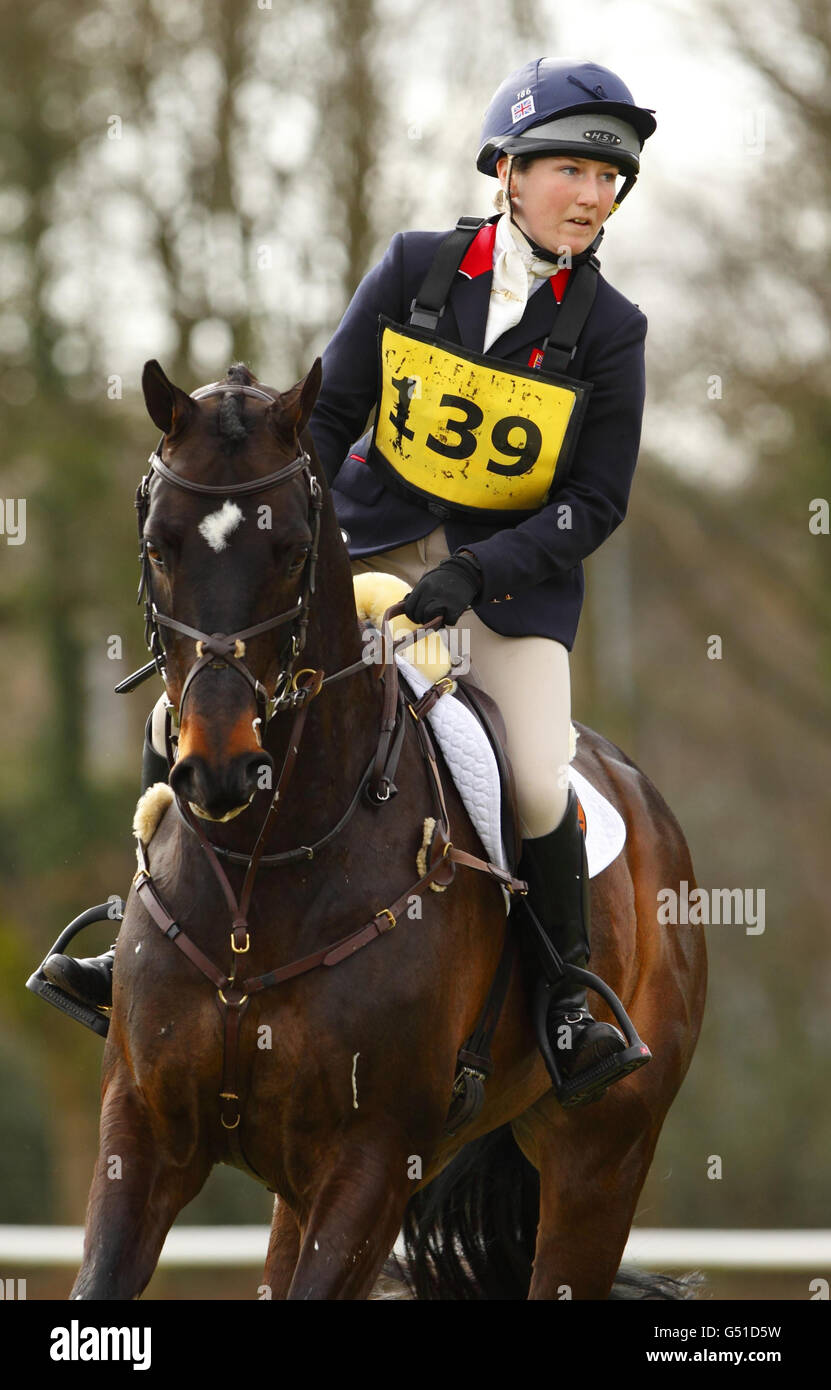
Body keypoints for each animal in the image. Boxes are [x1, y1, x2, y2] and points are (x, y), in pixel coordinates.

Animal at [69, 358, 706, 1301]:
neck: (264, 865)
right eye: (158, 546)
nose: (221, 771)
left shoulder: (372, 1165)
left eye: (294, 552)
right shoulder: (143, 1135)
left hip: (600, 1161)